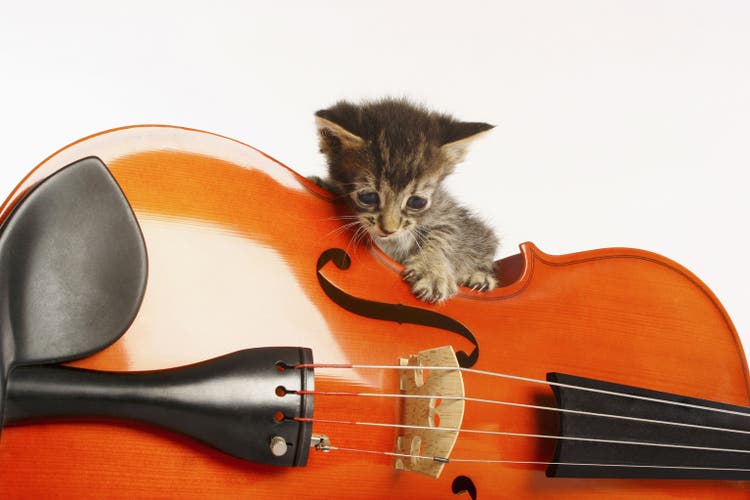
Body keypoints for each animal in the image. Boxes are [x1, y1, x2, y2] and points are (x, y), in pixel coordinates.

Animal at [312, 96, 500, 300]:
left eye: (417, 202)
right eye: (368, 197)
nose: (389, 229)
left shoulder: (447, 212)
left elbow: (445, 234)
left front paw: (432, 270)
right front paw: (320, 183)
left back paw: (479, 278)